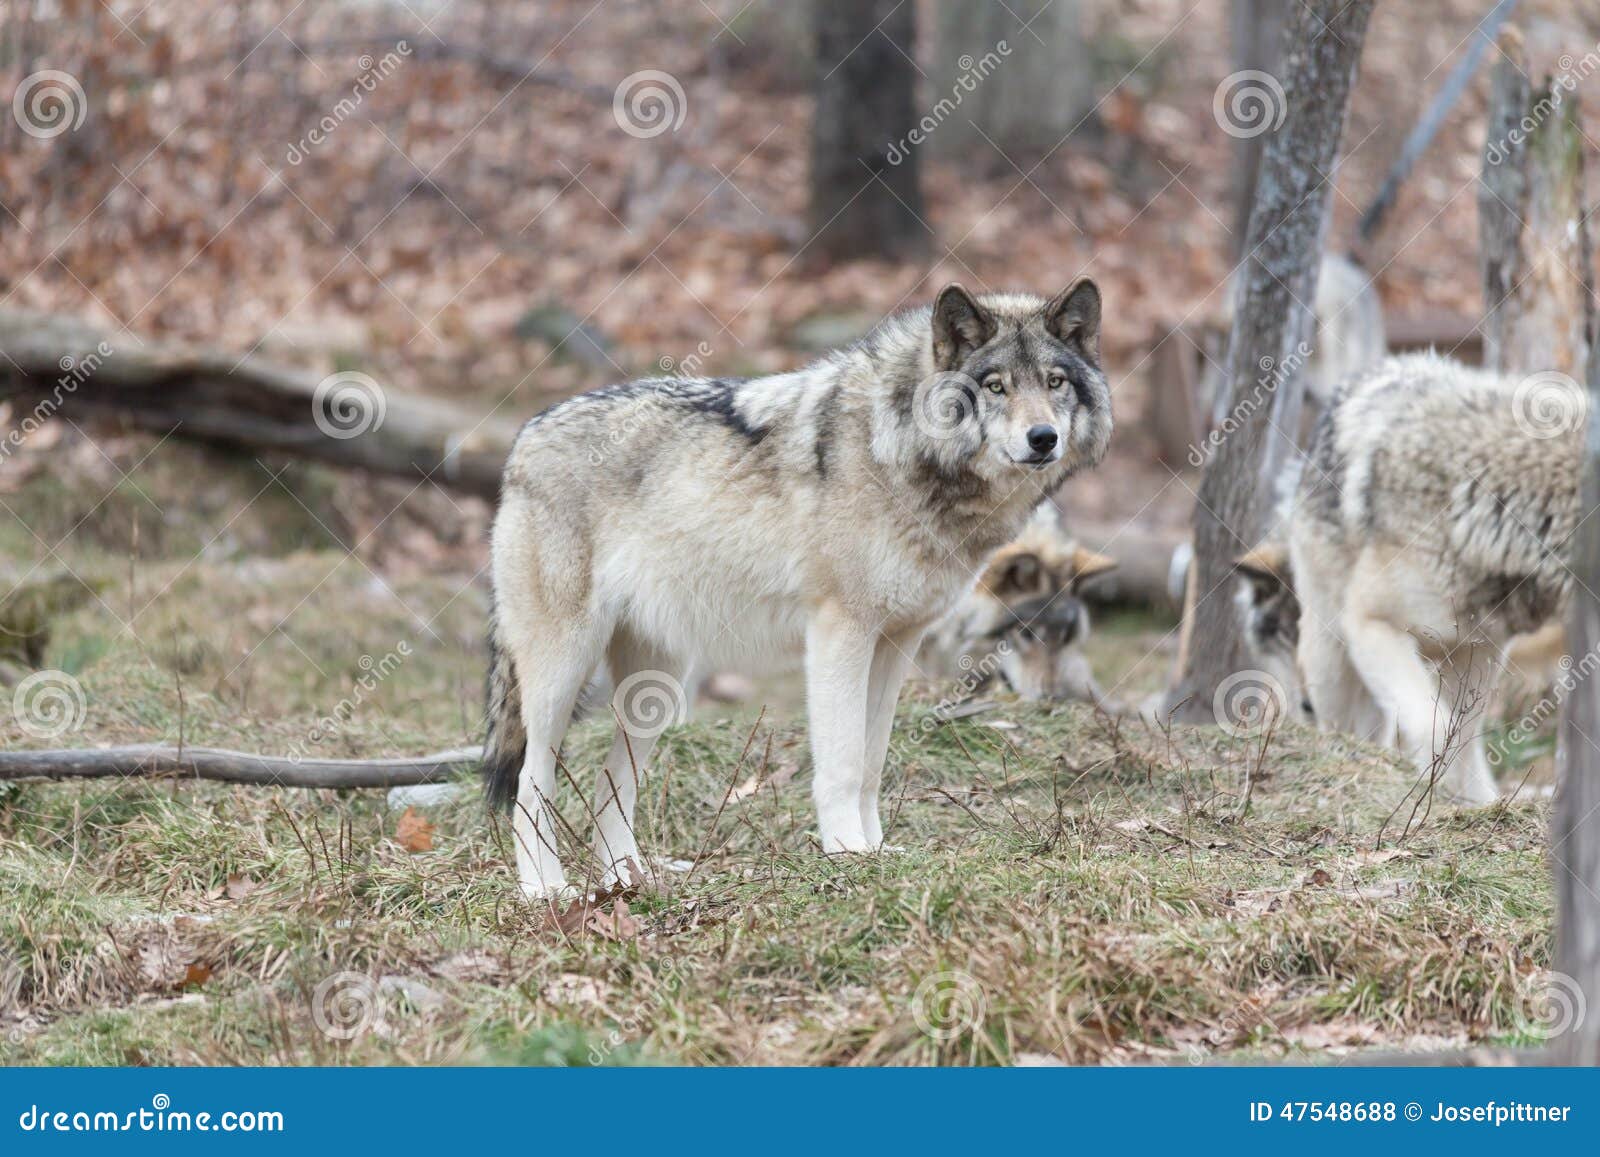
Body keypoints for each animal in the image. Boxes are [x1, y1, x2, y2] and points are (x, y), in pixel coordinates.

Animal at [1289, 353, 1581, 804]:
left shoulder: (1482, 648)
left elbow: (1457, 739)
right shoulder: (1371, 625)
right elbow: (1434, 727)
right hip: (1332, 655)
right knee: (1339, 721)